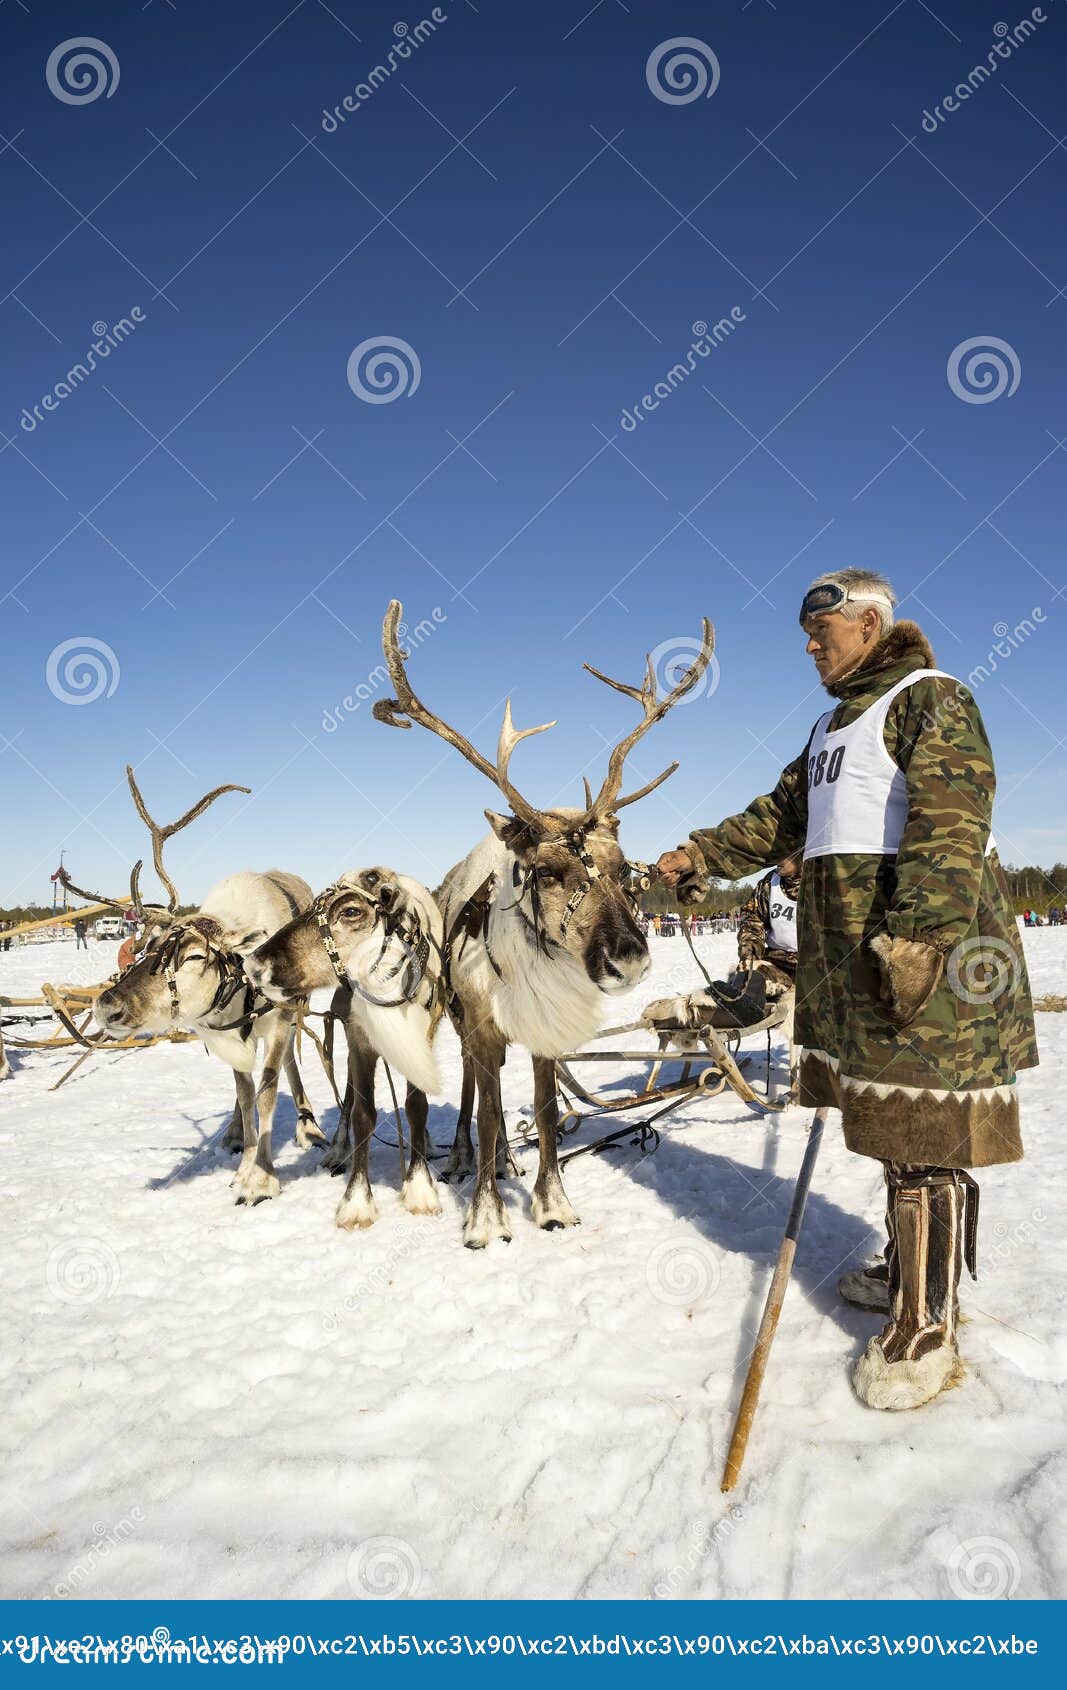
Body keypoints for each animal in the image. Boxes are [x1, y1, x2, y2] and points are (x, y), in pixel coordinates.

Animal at [92, 768, 325, 1204]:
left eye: (195, 957)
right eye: (149, 946)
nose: (106, 1006)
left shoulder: (279, 1019)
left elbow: (267, 1090)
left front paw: (262, 1178)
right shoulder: (229, 1032)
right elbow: (245, 1092)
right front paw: (245, 1164)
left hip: (293, 1014)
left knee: (287, 1062)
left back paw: (309, 1126)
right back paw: (233, 1133)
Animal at [245, 867, 448, 1229]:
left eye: (351, 911)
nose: (253, 965)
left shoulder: (425, 1037)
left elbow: (416, 1107)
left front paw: (420, 1189)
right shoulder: (359, 1042)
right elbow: (362, 1114)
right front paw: (357, 1202)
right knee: (349, 1097)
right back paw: (338, 1152)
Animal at [373, 600, 715, 1249]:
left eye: (622, 870)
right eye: (549, 872)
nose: (630, 958)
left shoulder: (546, 1033)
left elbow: (550, 1113)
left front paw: (553, 1204)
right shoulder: (483, 1027)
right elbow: (486, 1112)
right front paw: (485, 1217)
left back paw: (509, 1160)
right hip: (455, 1019)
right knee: (472, 1093)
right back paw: (467, 1159)